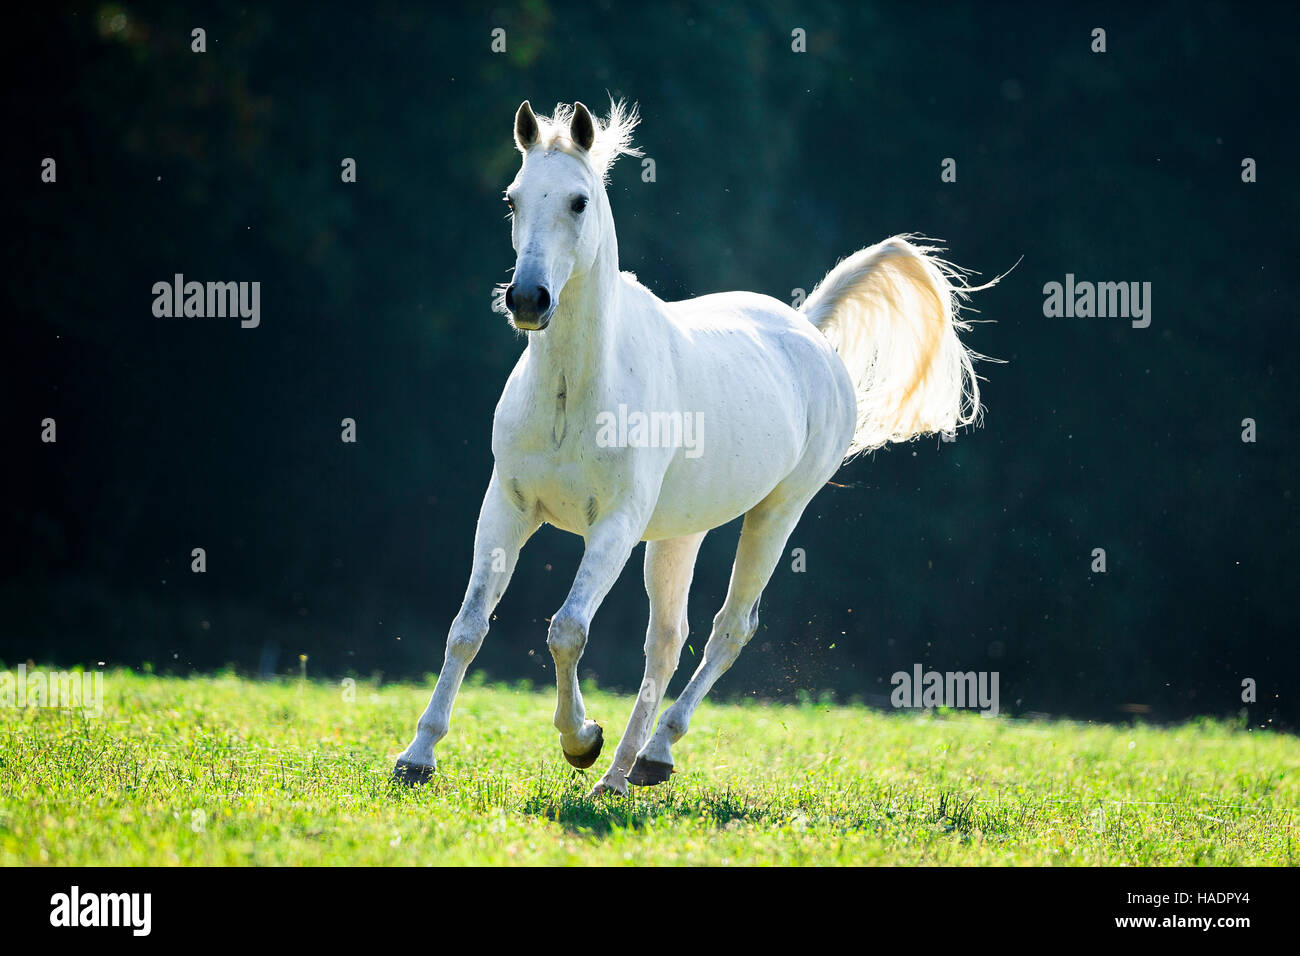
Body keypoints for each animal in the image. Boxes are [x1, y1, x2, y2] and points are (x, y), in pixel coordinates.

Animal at [394, 99, 993, 797]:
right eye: (513, 199)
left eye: (578, 201)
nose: (527, 300)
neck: (574, 390)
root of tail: (810, 332)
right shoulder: (508, 509)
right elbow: (468, 628)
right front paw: (417, 756)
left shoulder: (616, 526)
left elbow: (567, 630)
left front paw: (580, 740)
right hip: (679, 534)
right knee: (666, 642)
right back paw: (620, 776)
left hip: (776, 514)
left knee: (727, 630)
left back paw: (648, 757)